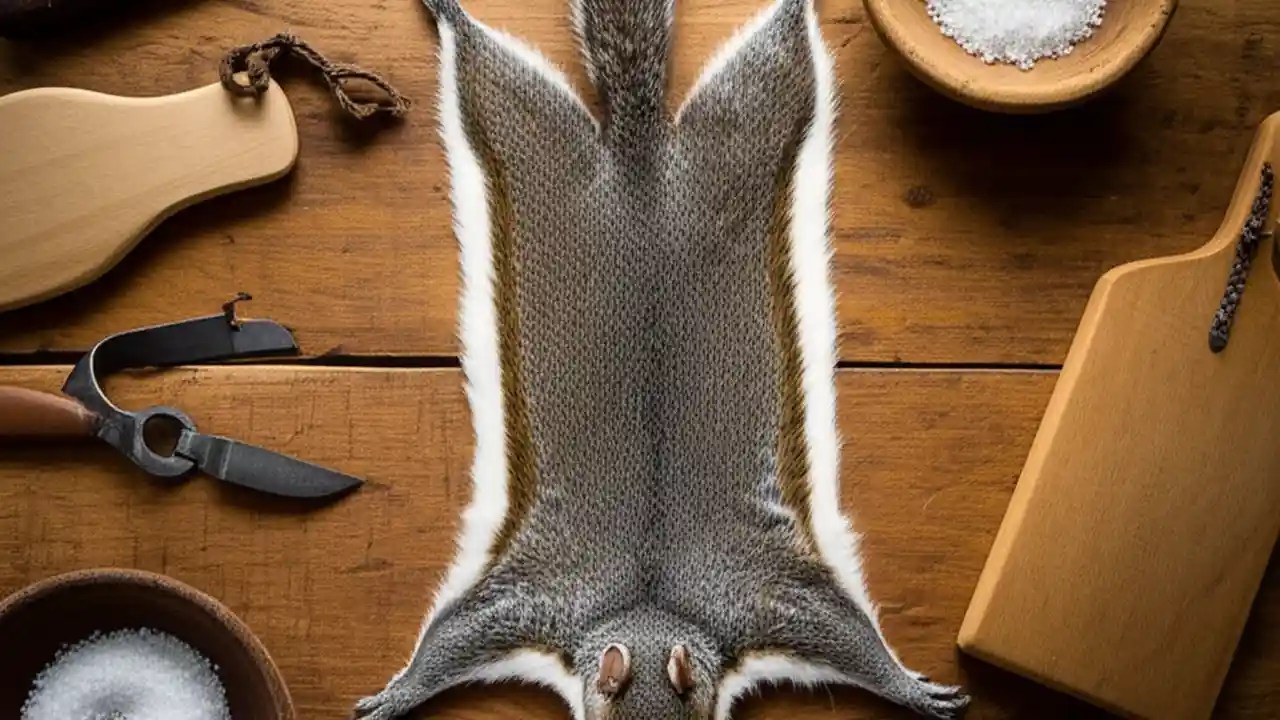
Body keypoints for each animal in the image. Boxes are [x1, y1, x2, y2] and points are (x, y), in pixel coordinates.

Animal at [355, 0, 971, 718]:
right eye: (603, 707)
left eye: (694, 706)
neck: (651, 605)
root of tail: (639, 155)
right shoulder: (538, 607)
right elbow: (458, 634)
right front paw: (399, 693)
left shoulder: (765, 605)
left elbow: (843, 631)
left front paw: (911, 689)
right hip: (531, 141)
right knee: (488, 74)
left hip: (747, 126)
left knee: (776, 58)